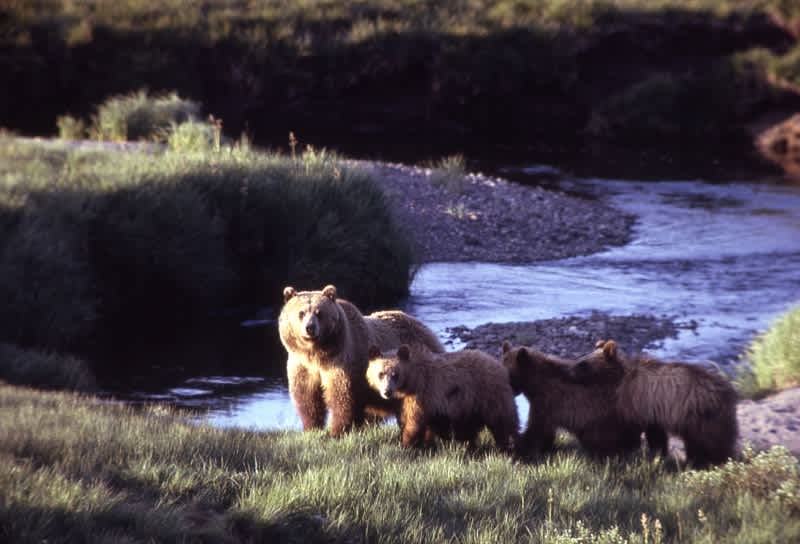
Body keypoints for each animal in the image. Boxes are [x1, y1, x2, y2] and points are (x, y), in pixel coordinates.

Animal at [278, 284, 445, 437]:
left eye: (319, 313)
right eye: (301, 313)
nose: (310, 327)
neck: (317, 354)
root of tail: (426, 329)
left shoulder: (342, 362)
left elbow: (341, 396)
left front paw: (336, 431)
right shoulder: (302, 366)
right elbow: (306, 397)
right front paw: (312, 428)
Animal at [365, 345, 518, 452]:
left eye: (395, 374)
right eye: (381, 373)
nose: (387, 392)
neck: (411, 381)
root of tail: (498, 365)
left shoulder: (422, 395)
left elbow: (414, 422)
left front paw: (406, 444)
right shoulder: (408, 401)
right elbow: (412, 420)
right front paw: (425, 444)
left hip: (489, 394)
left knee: (503, 422)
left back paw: (507, 446)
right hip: (470, 405)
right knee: (468, 428)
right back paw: (469, 446)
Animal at [500, 341, 643, 459]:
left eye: (509, 375)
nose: (510, 392)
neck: (535, 385)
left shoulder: (546, 402)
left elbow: (537, 428)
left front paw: (521, 447)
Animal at [569, 340, 739, 468]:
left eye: (582, 363)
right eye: (580, 359)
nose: (568, 370)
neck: (618, 378)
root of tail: (728, 392)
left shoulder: (637, 400)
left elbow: (634, 429)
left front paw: (632, 448)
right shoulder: (651, 410)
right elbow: (656, 433)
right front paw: (657, 454)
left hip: (700, 415)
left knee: (708, 441)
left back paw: (706, 461)